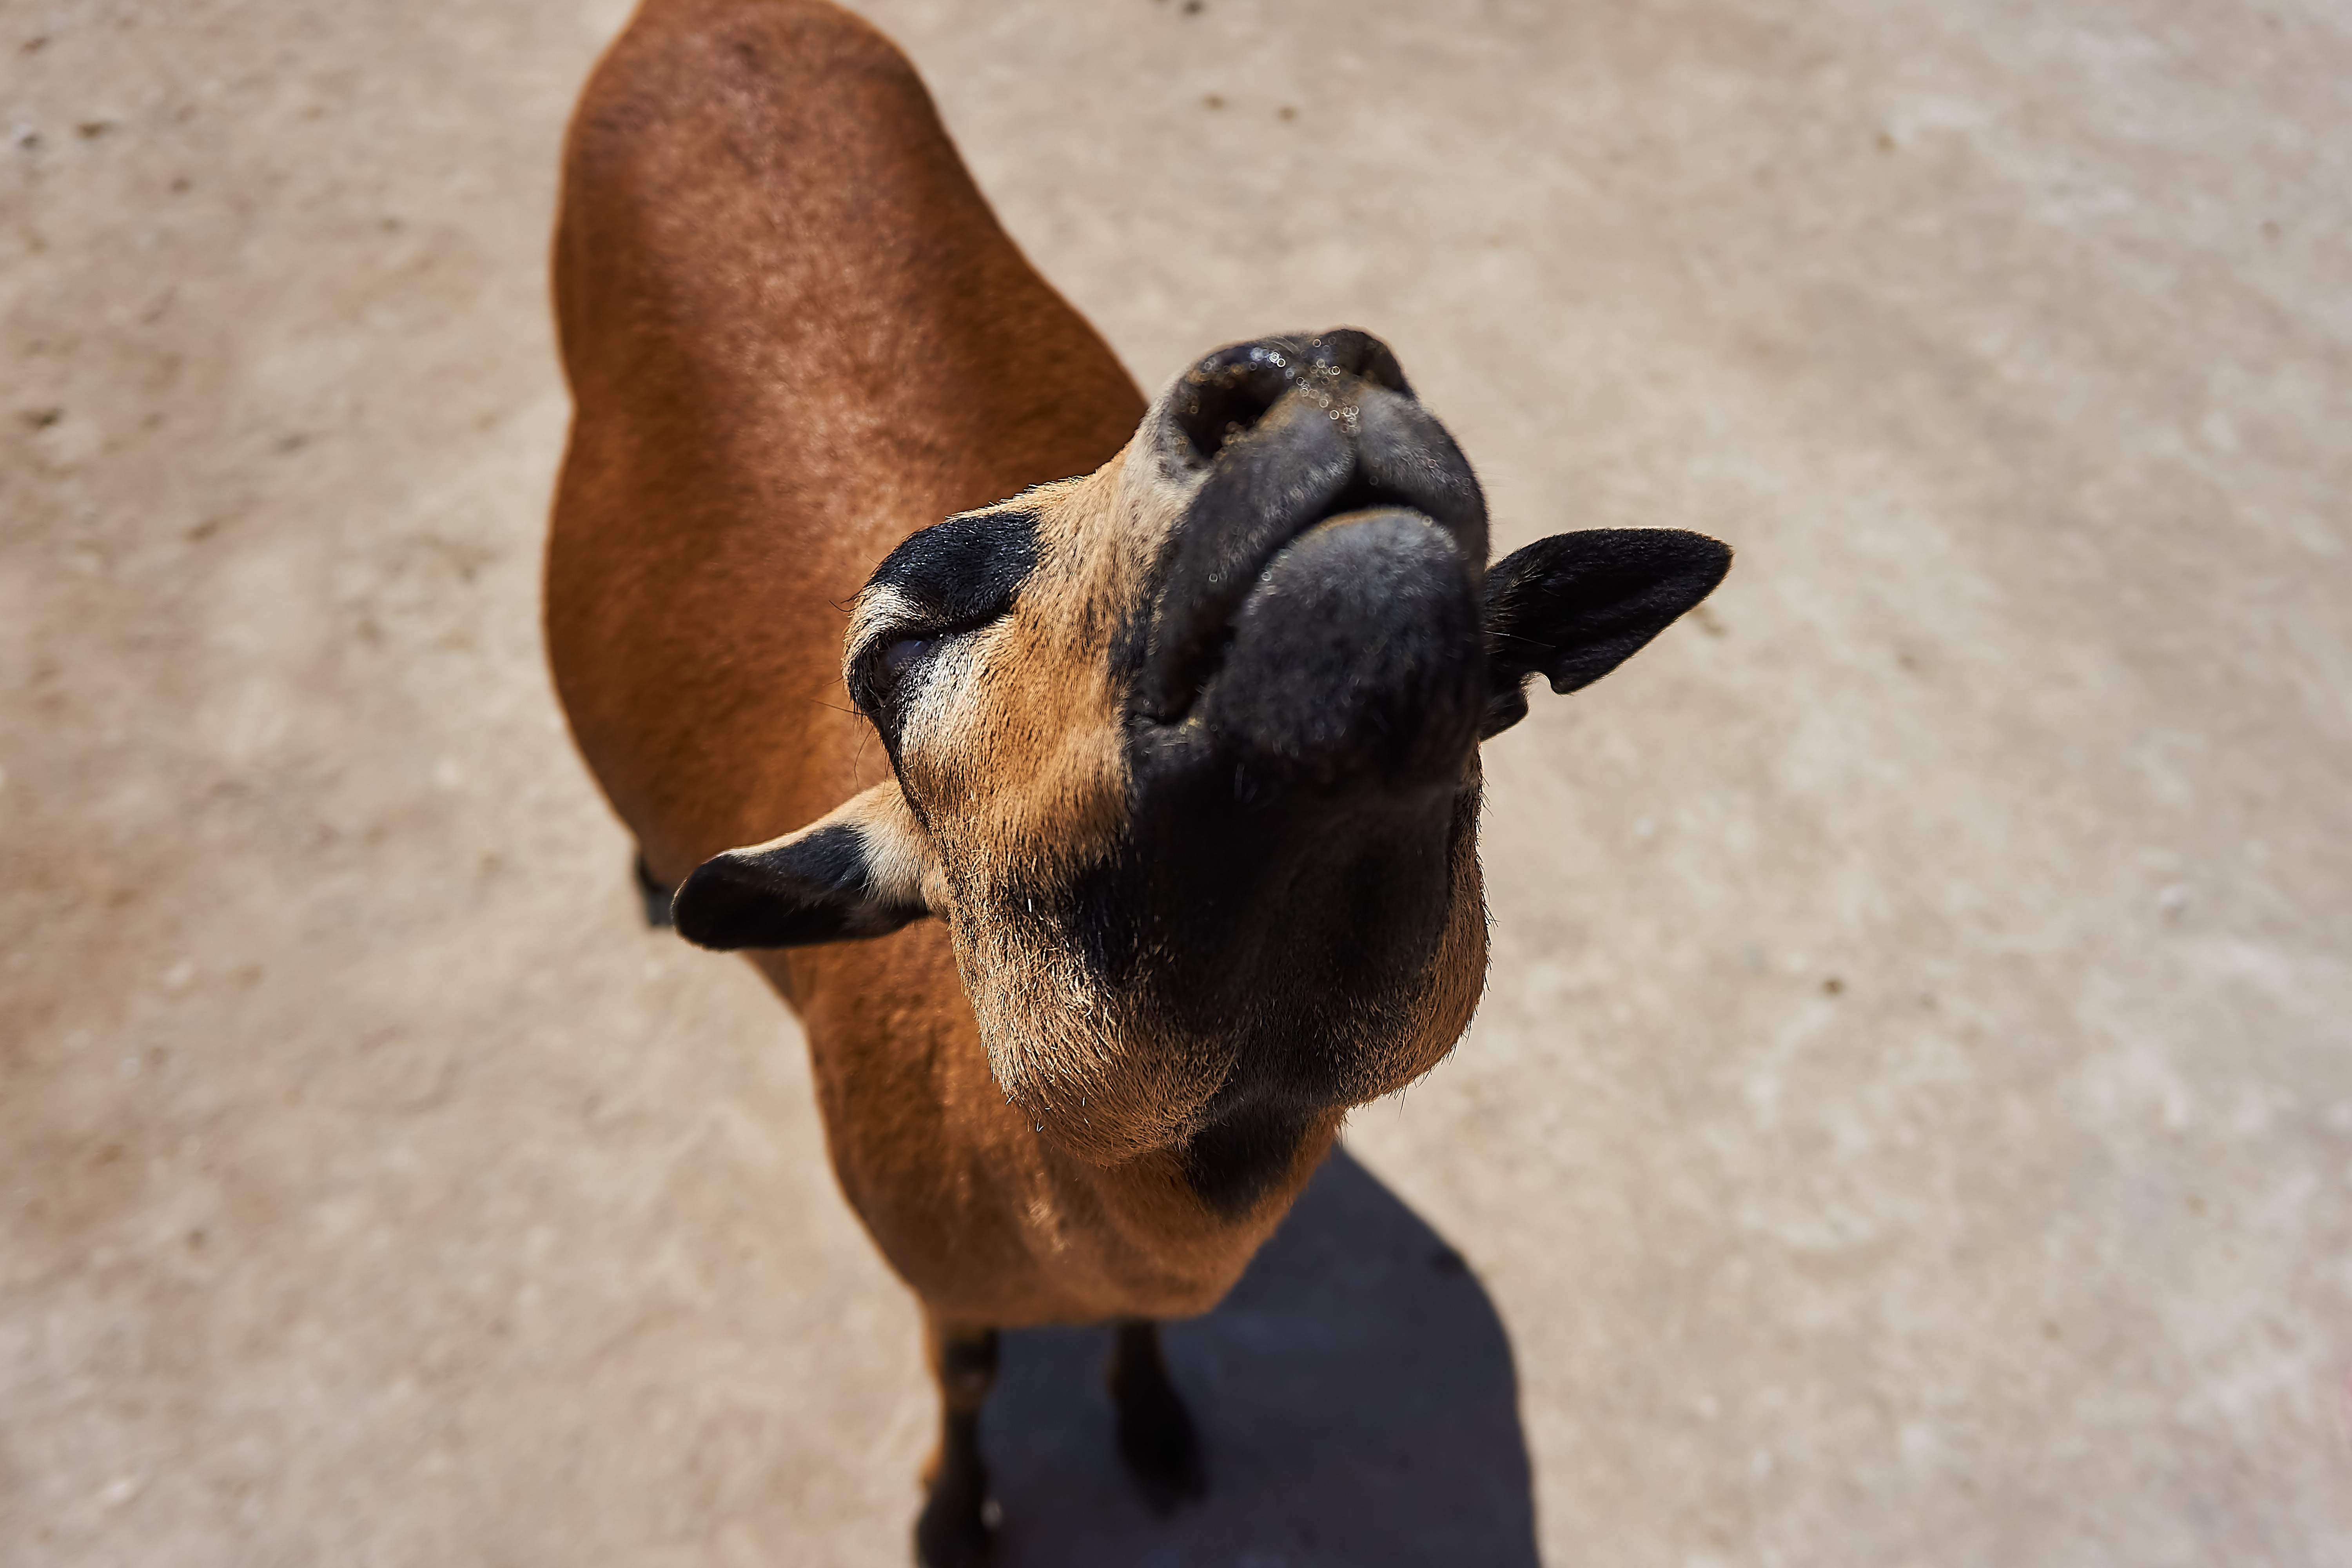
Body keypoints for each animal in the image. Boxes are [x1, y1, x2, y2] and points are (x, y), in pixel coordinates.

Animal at [546, 2, 1729, 1561]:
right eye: (892, 648)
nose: (1309, 367)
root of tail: (701, 20)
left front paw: (1154, 1423)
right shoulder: (934, 1271)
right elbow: (967, 1372)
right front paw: (953, 1519)